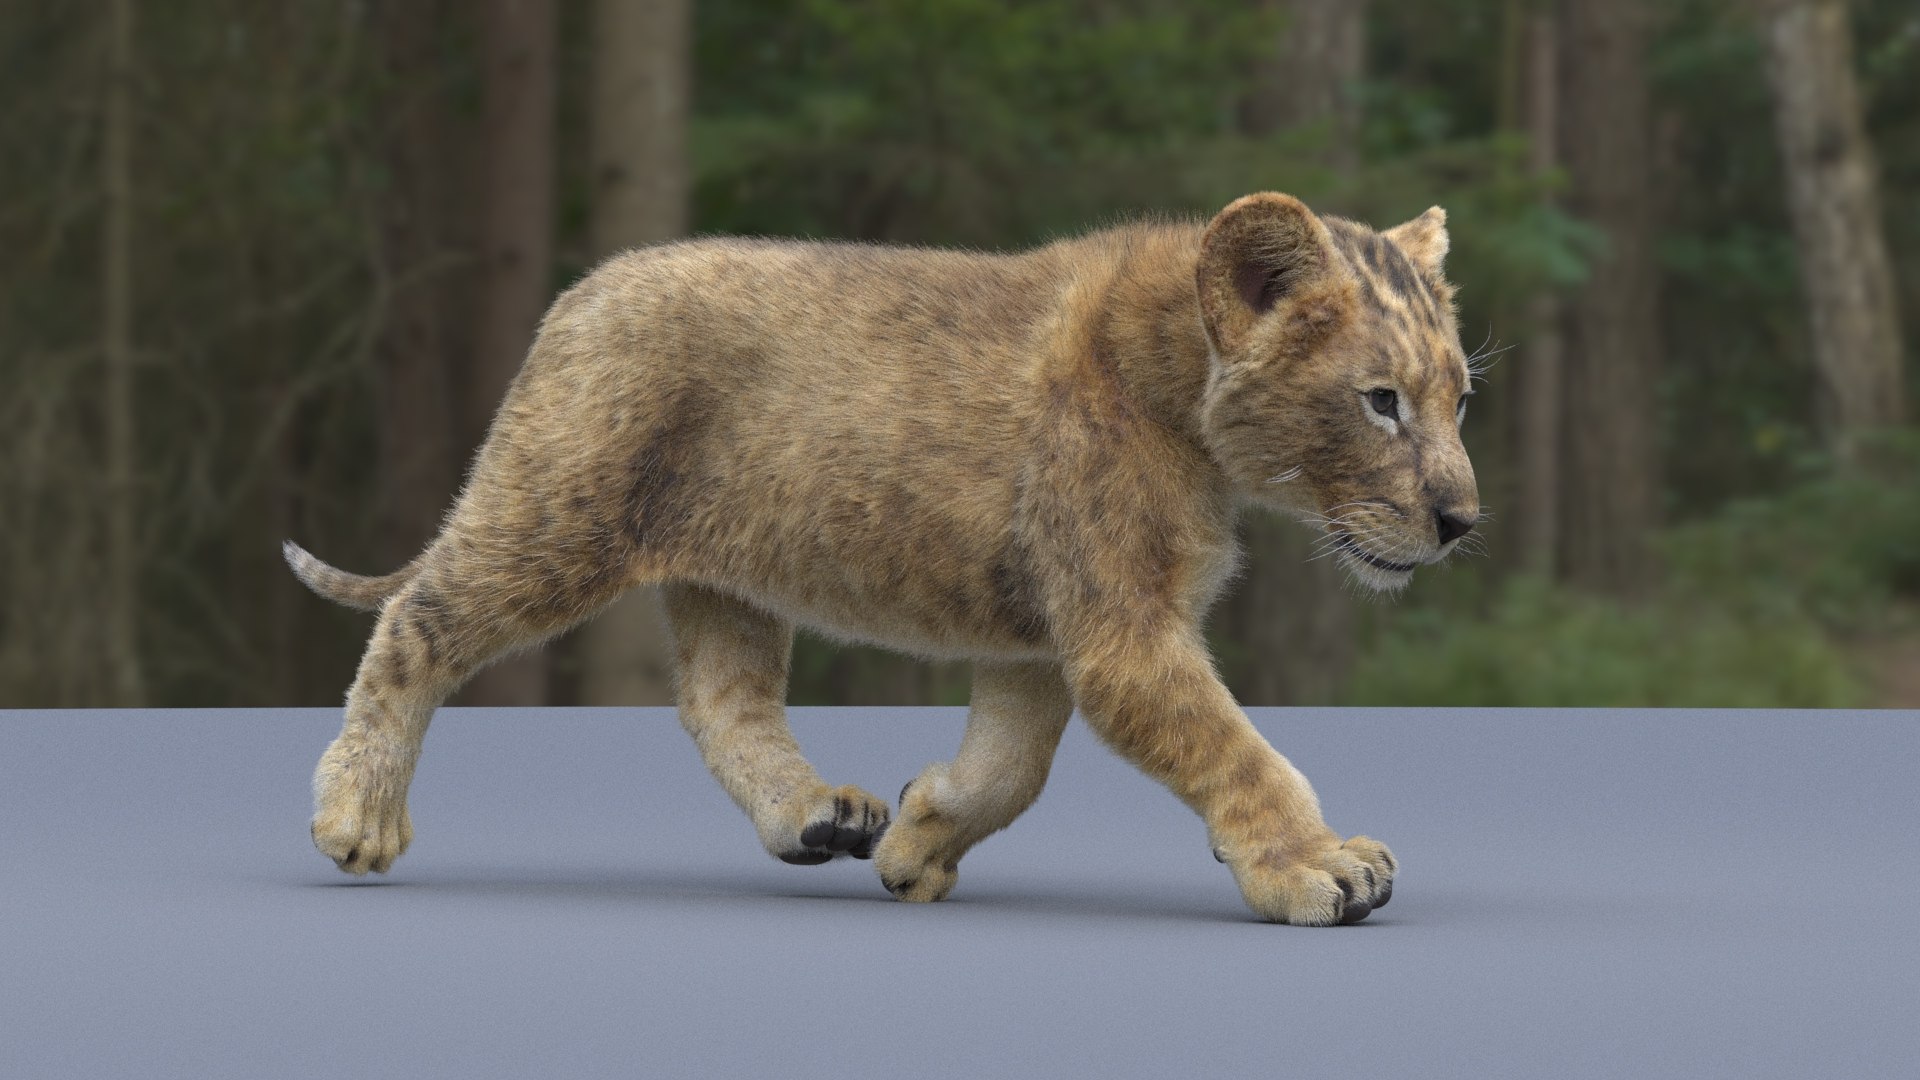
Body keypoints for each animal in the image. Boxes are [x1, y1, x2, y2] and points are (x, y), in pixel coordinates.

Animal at [285, 192, 1480, 925]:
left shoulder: (1042, 639)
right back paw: (357, 818)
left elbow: (1010, 766)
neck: (1187, 387)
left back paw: (817, 816)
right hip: (555, 516)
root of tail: (580, 294)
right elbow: (1239, 751)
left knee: (720, 701)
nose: (1464, 521)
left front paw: (918, 838)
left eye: (1459, 399)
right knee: (417, 622)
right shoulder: (1121, 629)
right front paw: (1318, 866)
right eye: (1380, 402)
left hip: (725, 576)